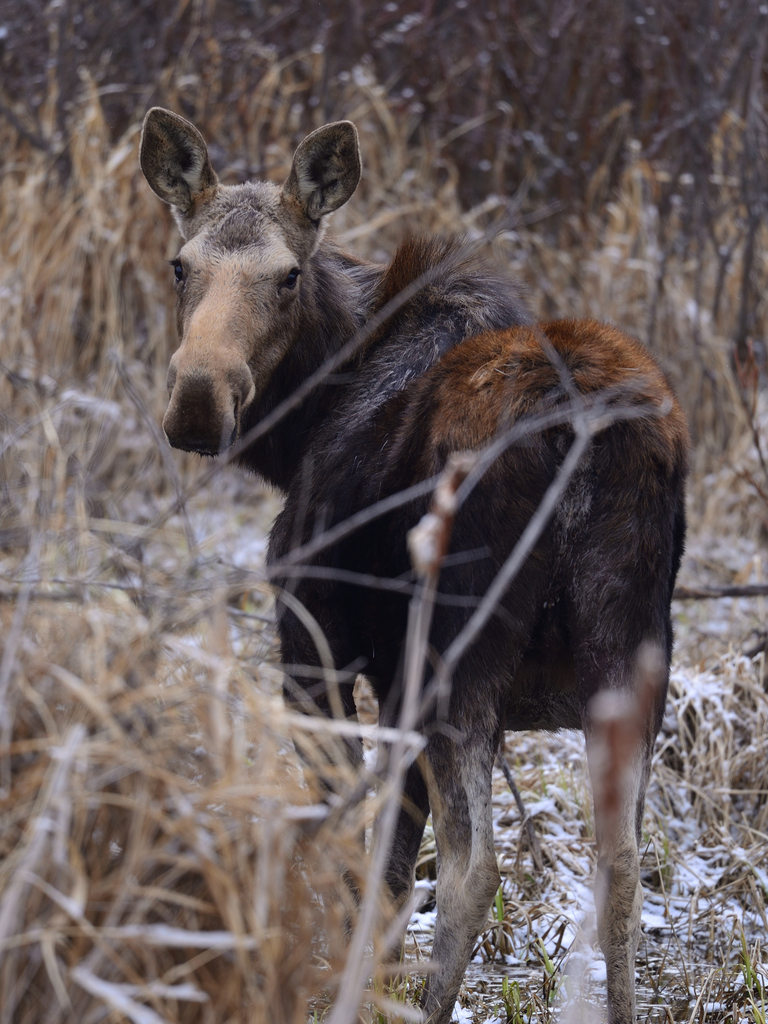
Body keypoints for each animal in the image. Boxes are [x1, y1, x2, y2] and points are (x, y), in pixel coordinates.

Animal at [140, 107, 689, 1024]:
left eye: (288, 276)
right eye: (180, 265)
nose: (197, 399)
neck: (306, 420)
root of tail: (586, 432)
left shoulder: (319, 646)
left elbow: (359, 851)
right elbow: (393, 870)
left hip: (456, 657)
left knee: (475, 870)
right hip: (630, 651)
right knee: (620, 865)